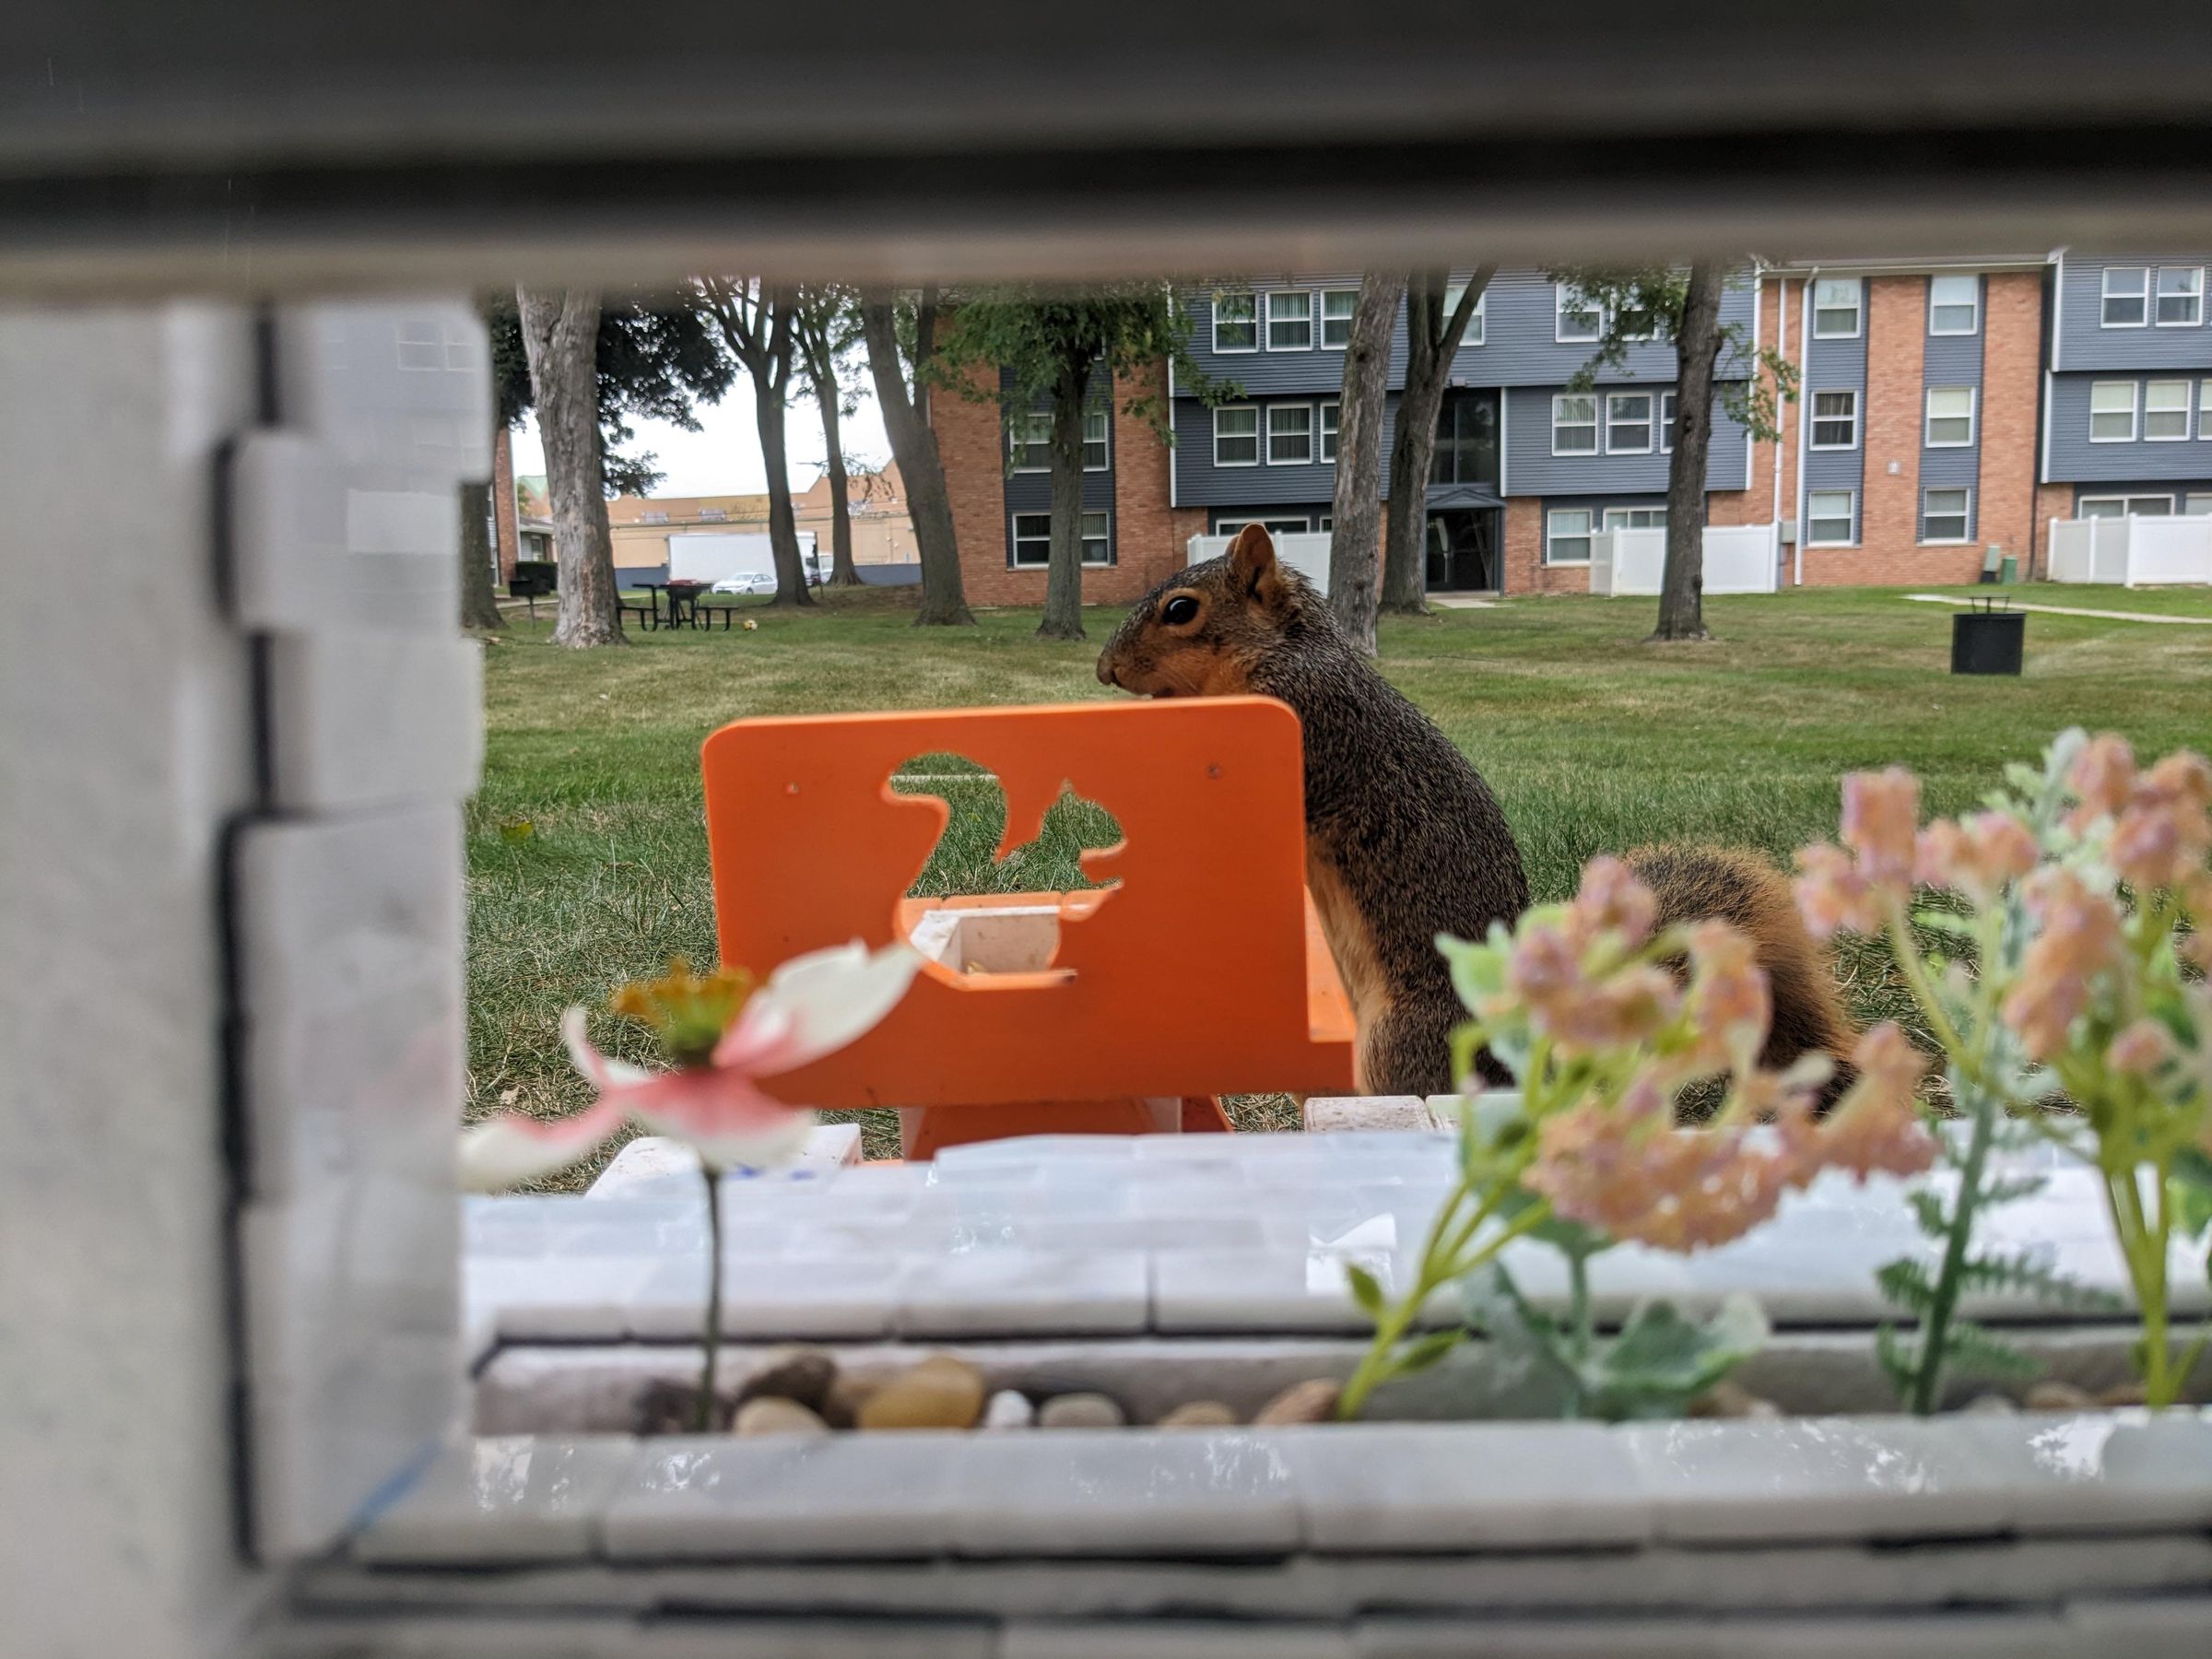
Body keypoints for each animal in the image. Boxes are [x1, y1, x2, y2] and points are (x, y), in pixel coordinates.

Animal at [1095, 524, 1855, 1102]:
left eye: (1181, 610)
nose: (1105, 671)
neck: (1287, 651)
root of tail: (1521, 1066)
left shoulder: (1315, 723)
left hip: (1403, 1041)